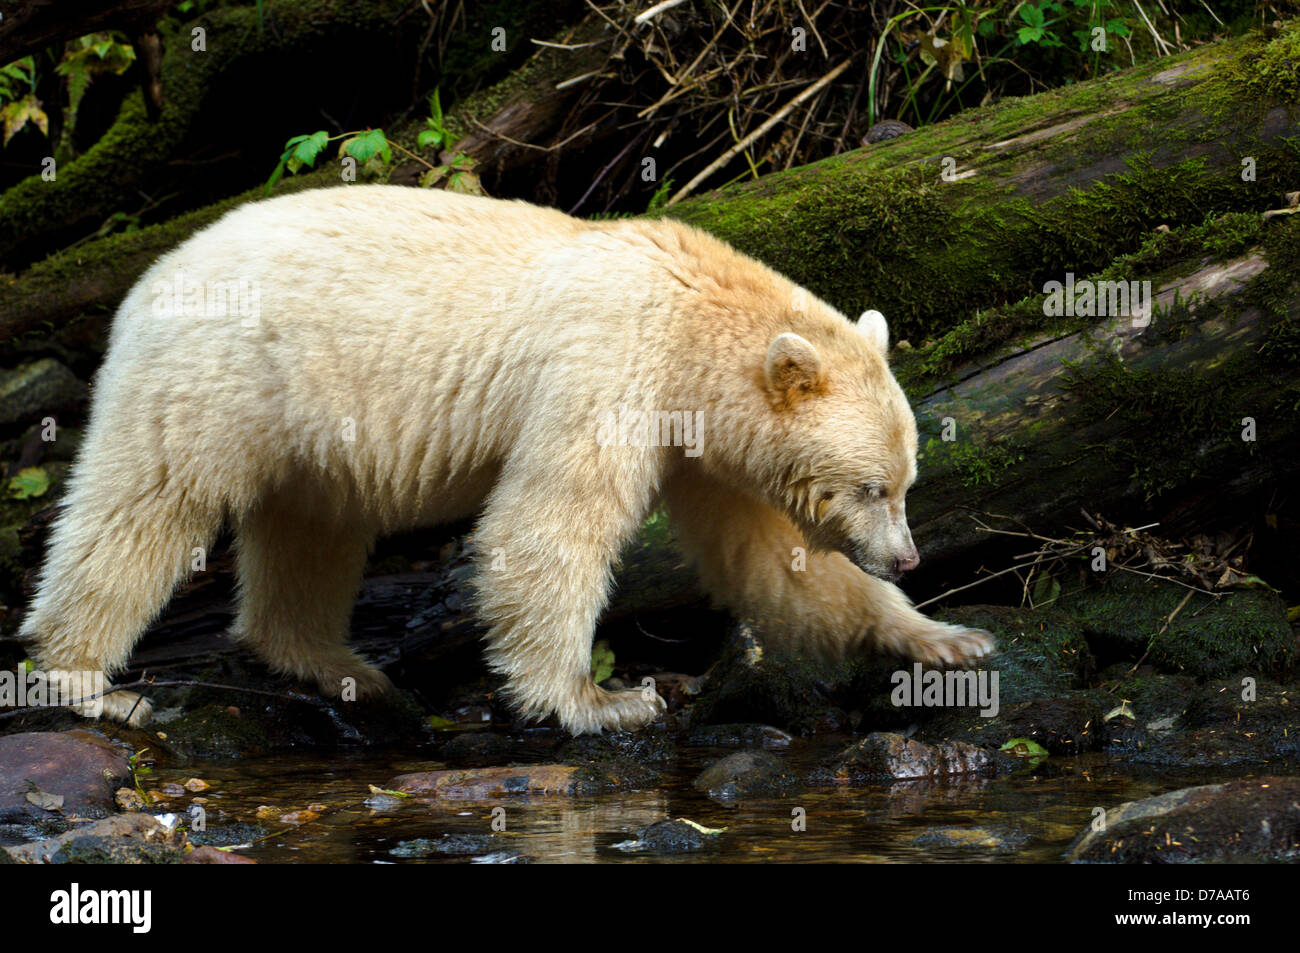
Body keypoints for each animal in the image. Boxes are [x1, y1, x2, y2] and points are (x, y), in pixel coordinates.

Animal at [20, 184, 993, 735]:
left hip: (308, 426)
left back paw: (340, 665)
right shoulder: (610, 369)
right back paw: (87, 682)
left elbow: (771, 561)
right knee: (143, 505)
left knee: (310, 531)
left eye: (907, 482)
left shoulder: (699, 441)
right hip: (219, 374)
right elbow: (548, 527)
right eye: (872, 485)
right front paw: (599, 701)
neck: (692, 316)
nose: (908, 554)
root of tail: (148, 278)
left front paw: (946, 638)